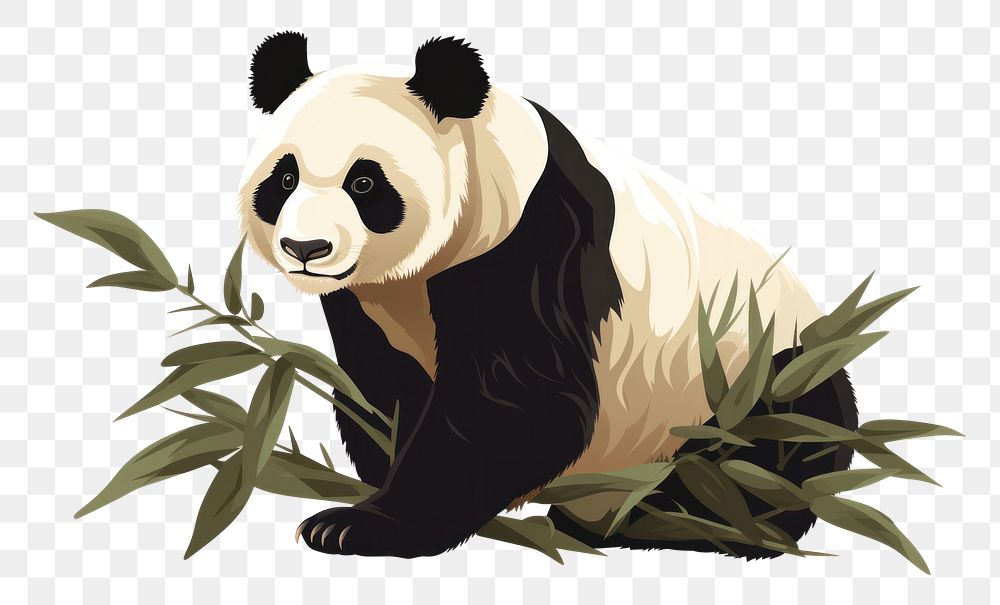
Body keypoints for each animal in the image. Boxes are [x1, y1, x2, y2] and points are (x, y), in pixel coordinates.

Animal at [236, 32, 857, 559]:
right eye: (284, 179)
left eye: (364, 183)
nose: (306, 248)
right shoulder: (366, 300)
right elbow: (382, 384)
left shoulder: (533, 243)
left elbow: (523, 405)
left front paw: (362, 525)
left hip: (747, 370)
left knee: (777, 446)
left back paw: (665, 515)